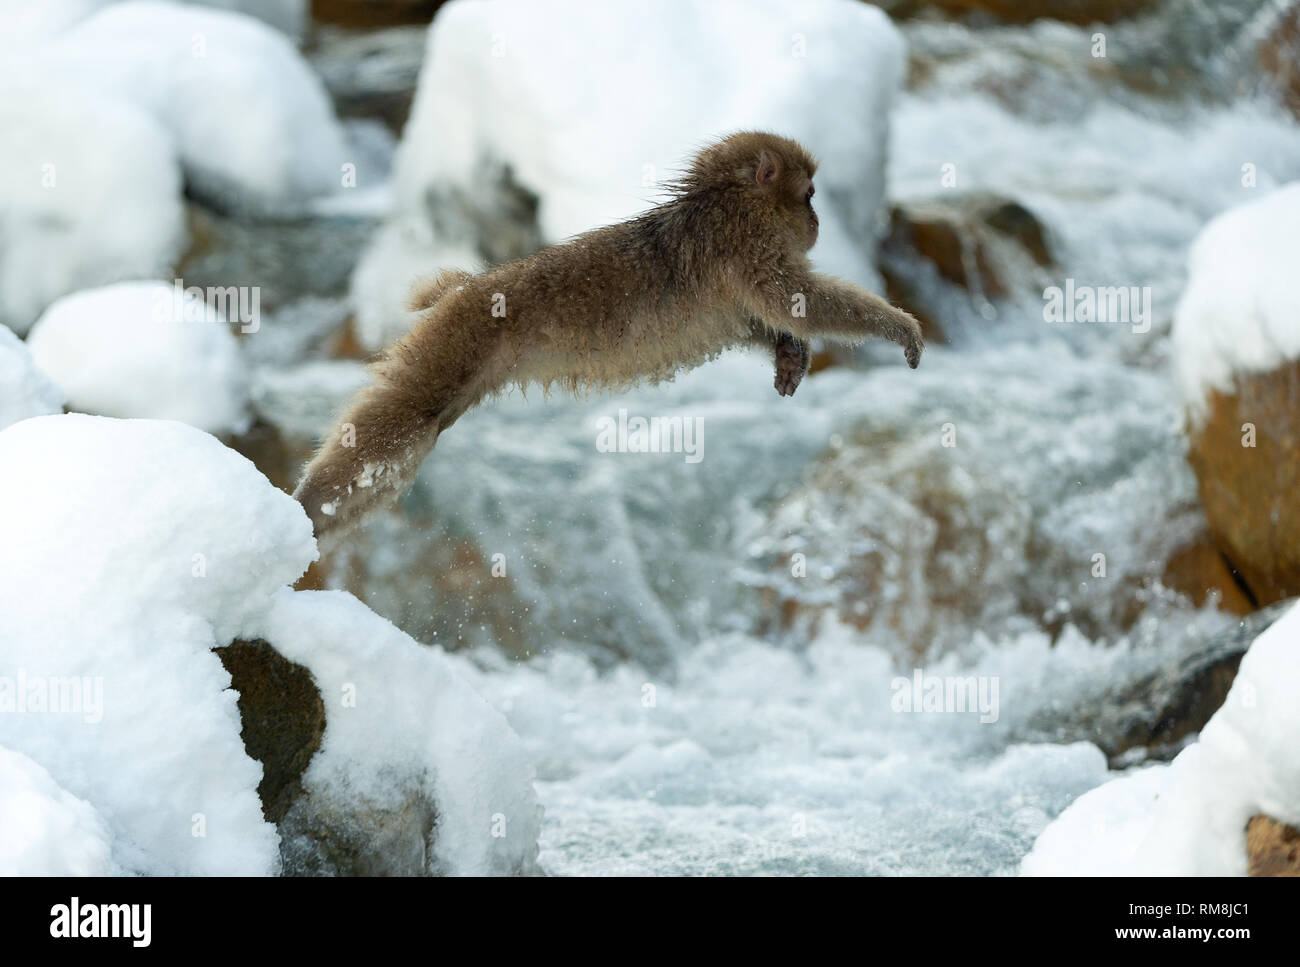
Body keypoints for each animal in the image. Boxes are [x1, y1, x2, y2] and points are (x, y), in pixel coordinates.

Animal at [294, 132, 923, 539]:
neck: (725, 200)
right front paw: (899, 325)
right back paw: (305, 507)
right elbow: (796, 302)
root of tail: (466, 287)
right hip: (457, 340)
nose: (817, 222)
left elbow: (755, 318)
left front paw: (789, 353)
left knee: (401, 446)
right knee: (403, 416)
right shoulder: (745, 245)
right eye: (809, 195)